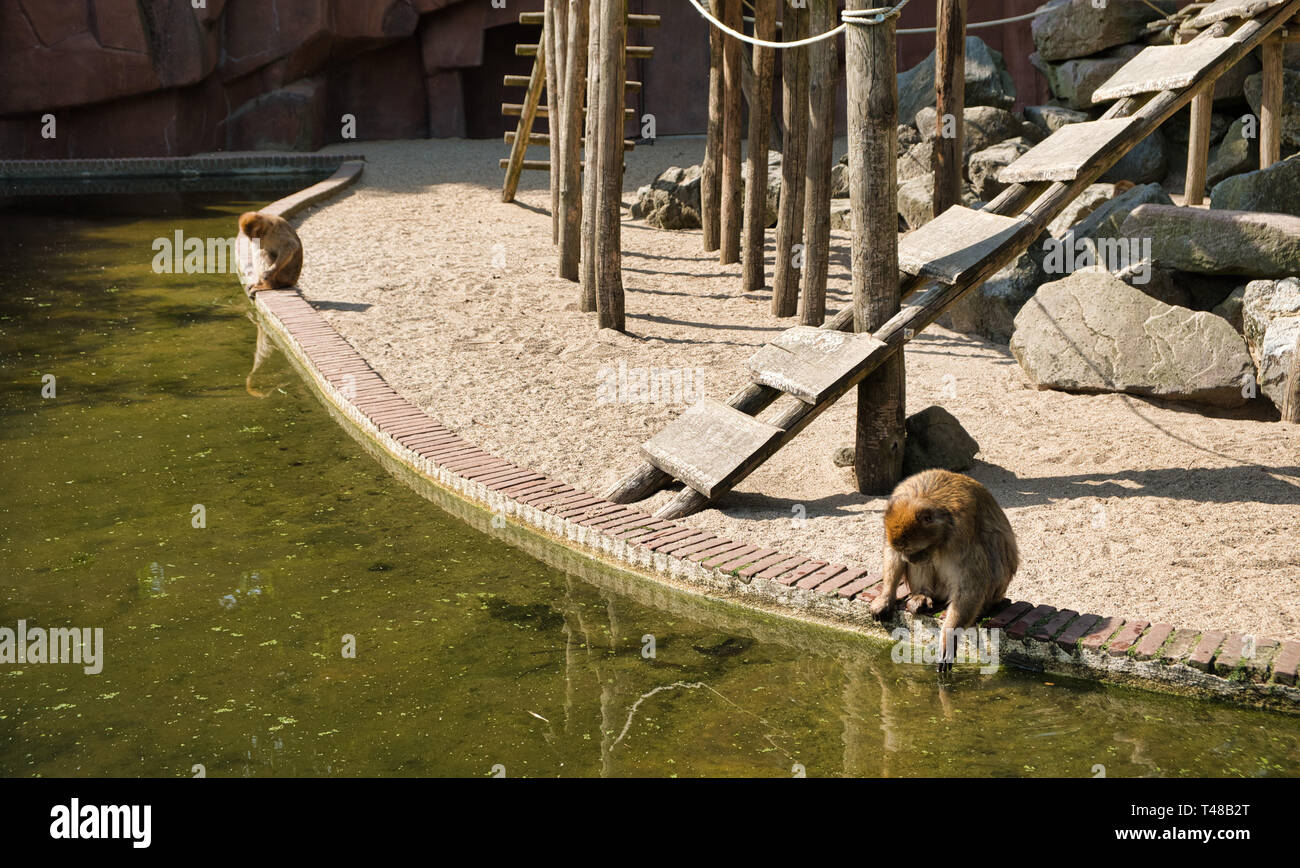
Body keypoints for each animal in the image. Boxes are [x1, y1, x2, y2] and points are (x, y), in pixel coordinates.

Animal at [868, 469, 1019, 673]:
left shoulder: (962, 533)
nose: (909, 559)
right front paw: (885, 598)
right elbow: (892, 553)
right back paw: (922, 596)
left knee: (994, 542)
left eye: (913, 550)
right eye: (905, 551)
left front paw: (949, 637)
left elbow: (971, 583)